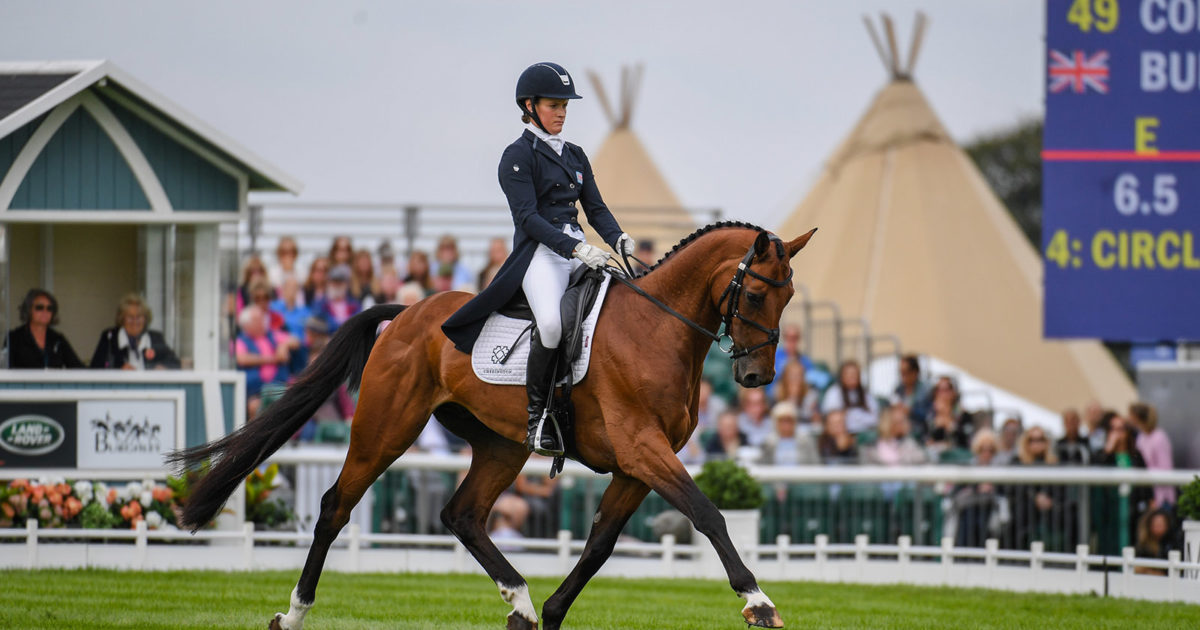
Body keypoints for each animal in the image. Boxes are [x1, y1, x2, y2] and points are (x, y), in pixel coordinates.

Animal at [169, 221, 816, 630]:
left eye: (788, 297)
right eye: (753, 295)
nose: (756, 376)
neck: (657, 330)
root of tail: (410, 312)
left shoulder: (636, 465)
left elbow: (601, 543)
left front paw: (552, 614)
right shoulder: (643, 449)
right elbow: (707, 513)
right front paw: (758, 602)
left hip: (502, 446)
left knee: (463, 514)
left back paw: (522, 605)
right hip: (385, 428)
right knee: (335, 506)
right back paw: (294, 613)